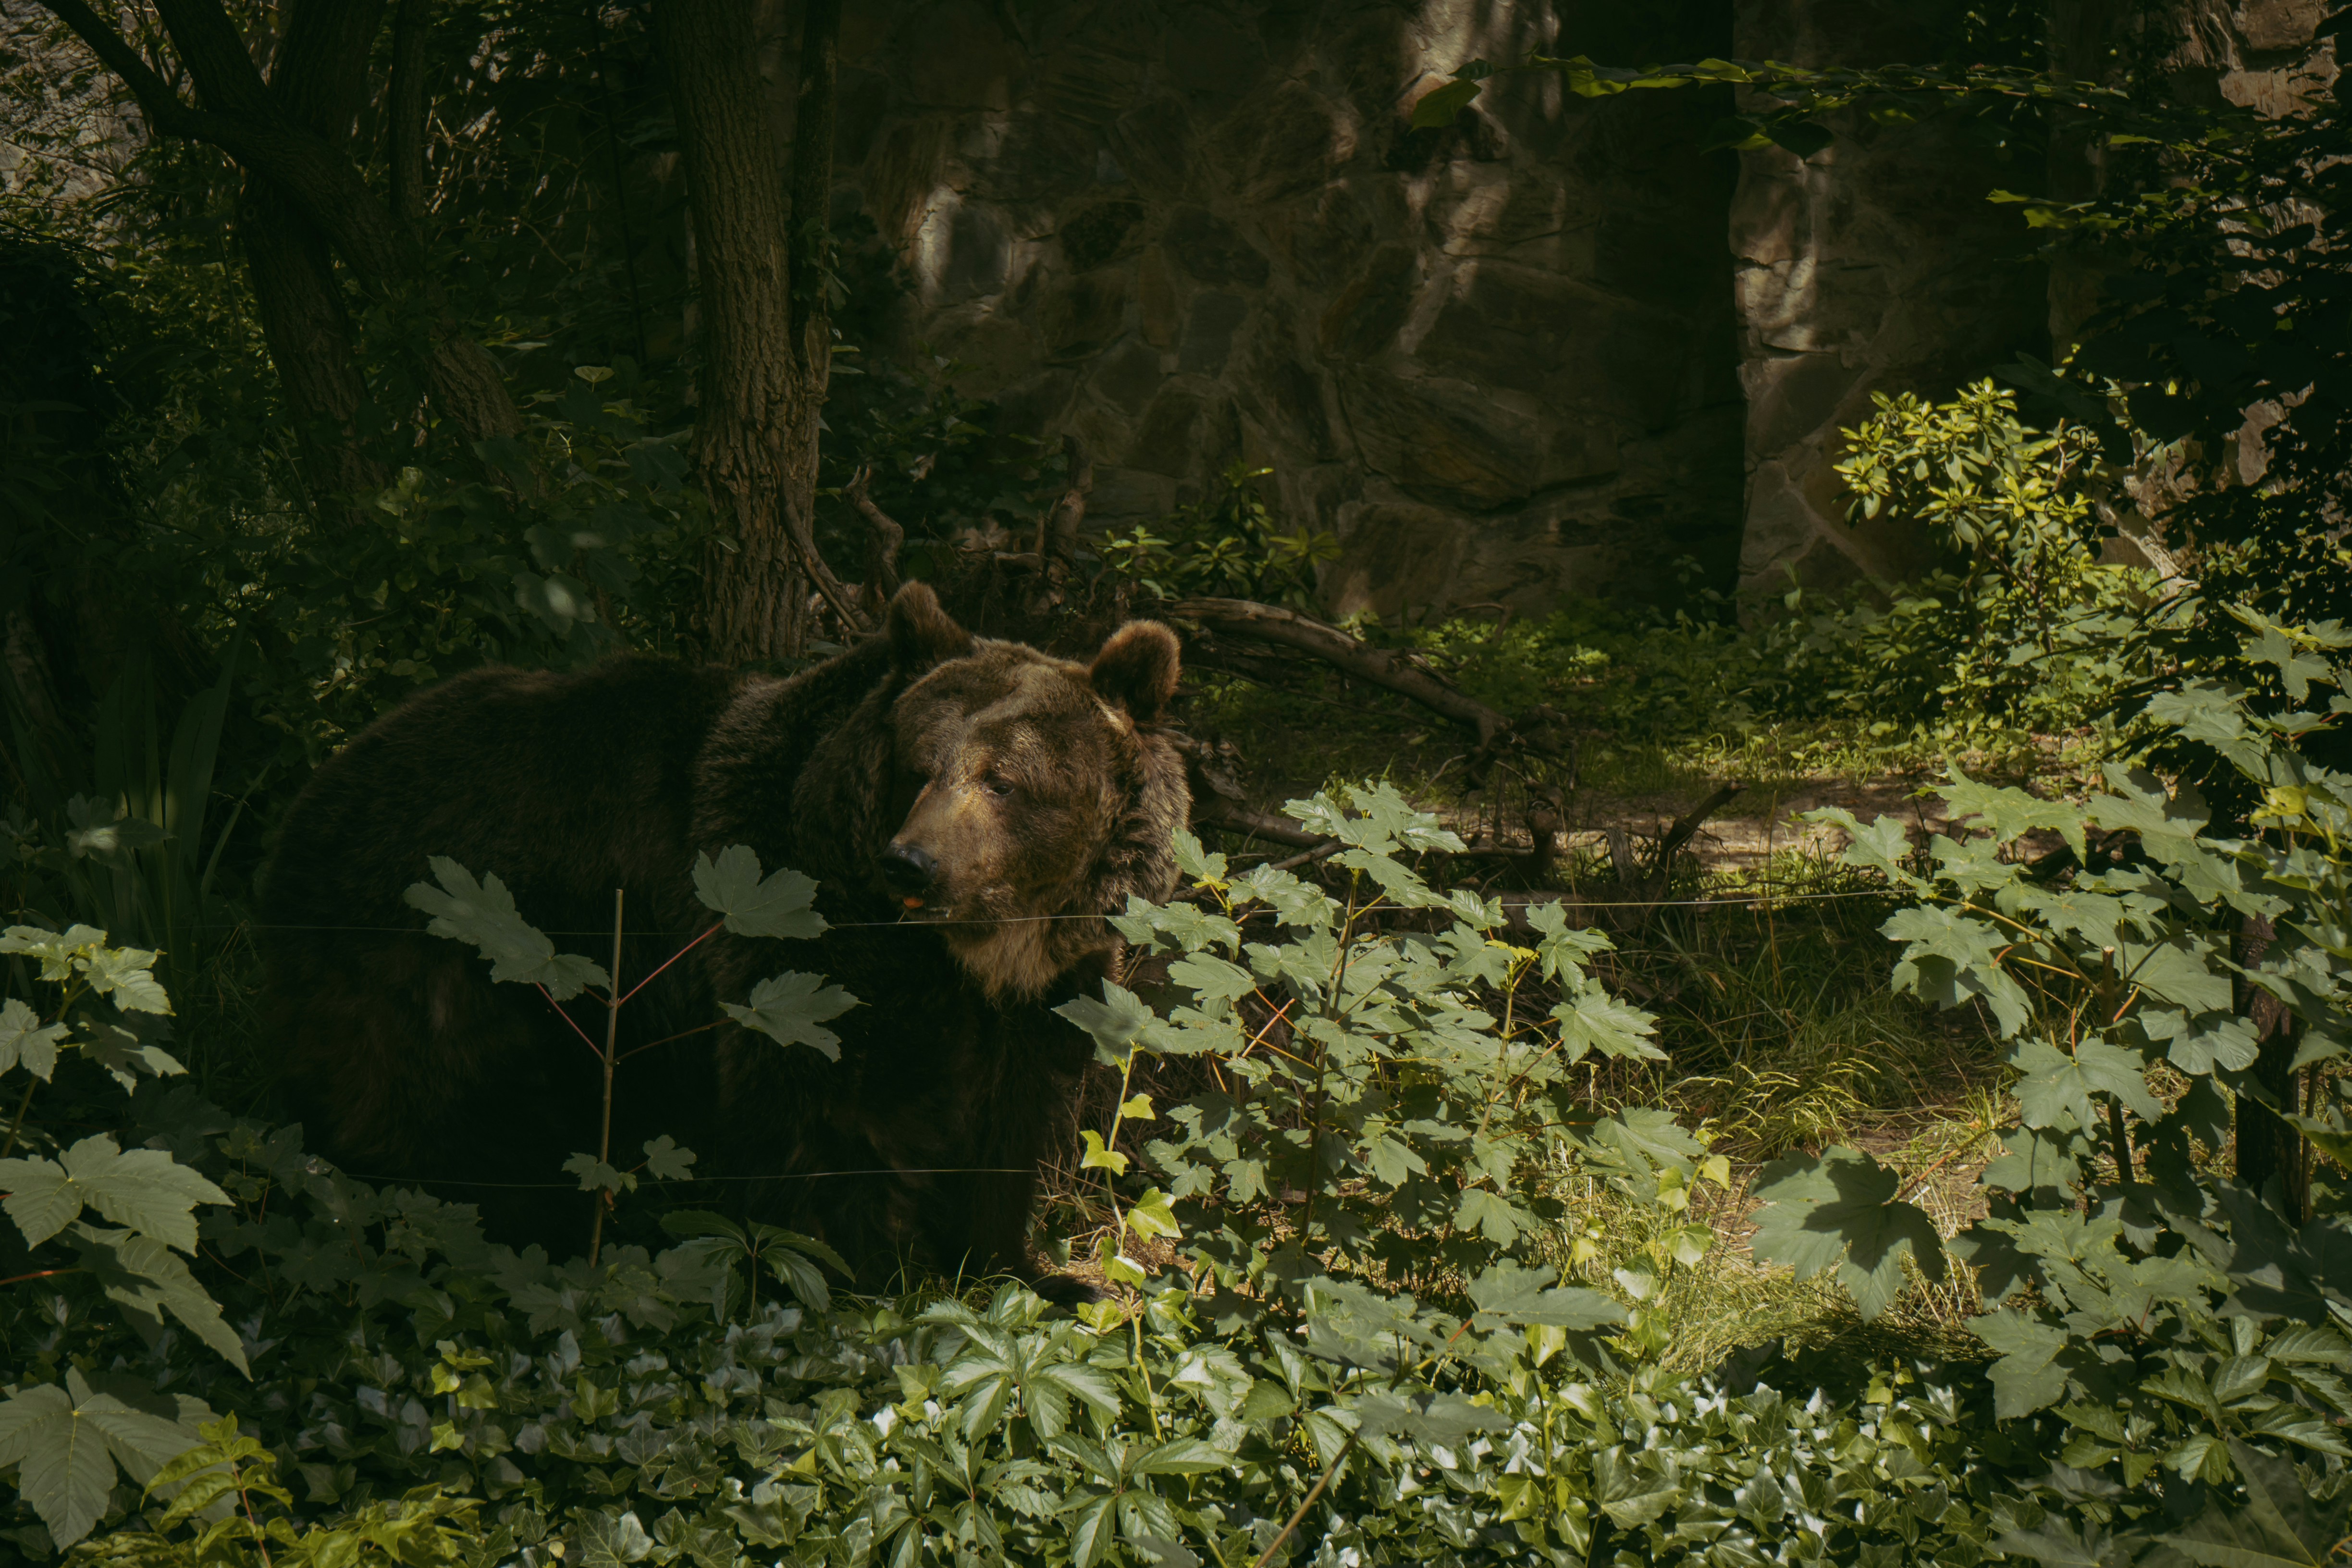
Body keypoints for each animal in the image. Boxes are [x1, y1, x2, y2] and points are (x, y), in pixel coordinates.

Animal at [258, 583, 1188, 1299]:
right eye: (918, 766)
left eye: (1003, 780)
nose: (911, 862)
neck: (969, 952)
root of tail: (324, 778)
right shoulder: (801, 950)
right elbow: (822, 1124)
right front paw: (867, 1276)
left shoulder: (1040, 997)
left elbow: (1005, 1128)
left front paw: (1034, 1272)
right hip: (440, 964)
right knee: (448, 1120)